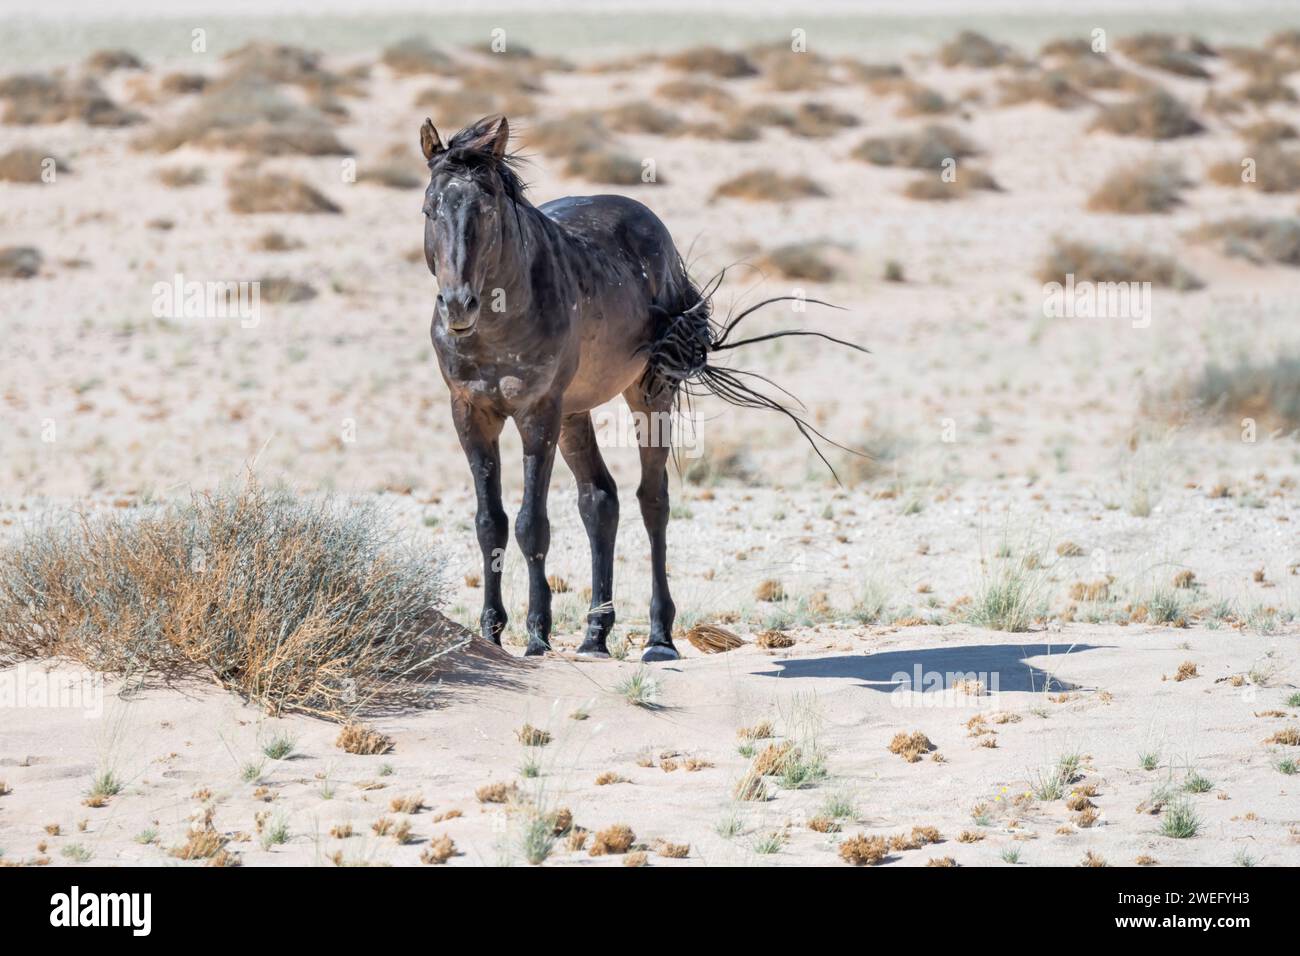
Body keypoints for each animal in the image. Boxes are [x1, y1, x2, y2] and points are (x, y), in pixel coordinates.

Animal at [419, 115, 863, 662]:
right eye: (429, 208)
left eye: (485, 210)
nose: (458, 305)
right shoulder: (471, 414)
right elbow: (490, 524)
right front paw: (492, 633)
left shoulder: (536, 413)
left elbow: (530, 524)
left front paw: (538, 636)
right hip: (575, 413)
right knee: (599, 501)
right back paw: (594, 636)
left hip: (648, 395)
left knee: (653, 501)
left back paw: (659, 638)